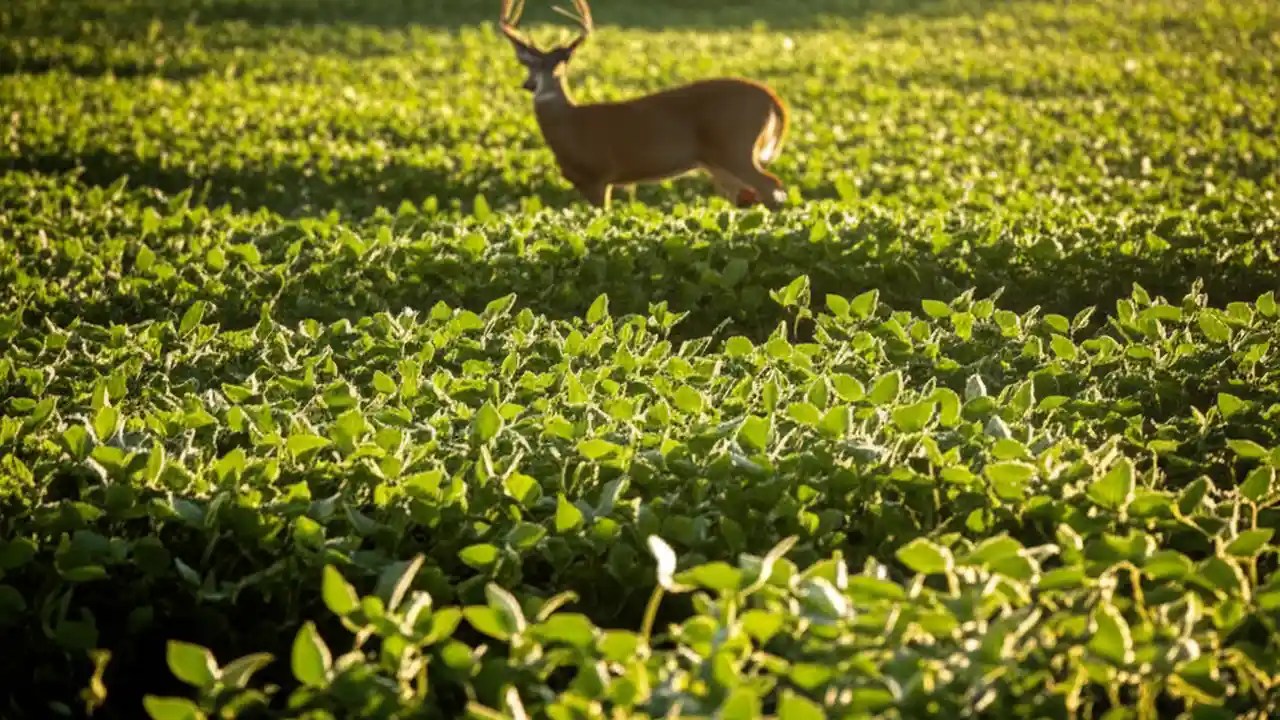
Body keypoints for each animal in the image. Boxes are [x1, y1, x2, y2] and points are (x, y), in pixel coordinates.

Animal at [497, 0, 791, 210]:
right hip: (720, 163)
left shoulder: (597, 176)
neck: (570, 124)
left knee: (771, 186)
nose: (529, 85)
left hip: (735, 146)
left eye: (550, 68)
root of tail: (772, 98)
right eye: (530, 65)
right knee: (752, 196)